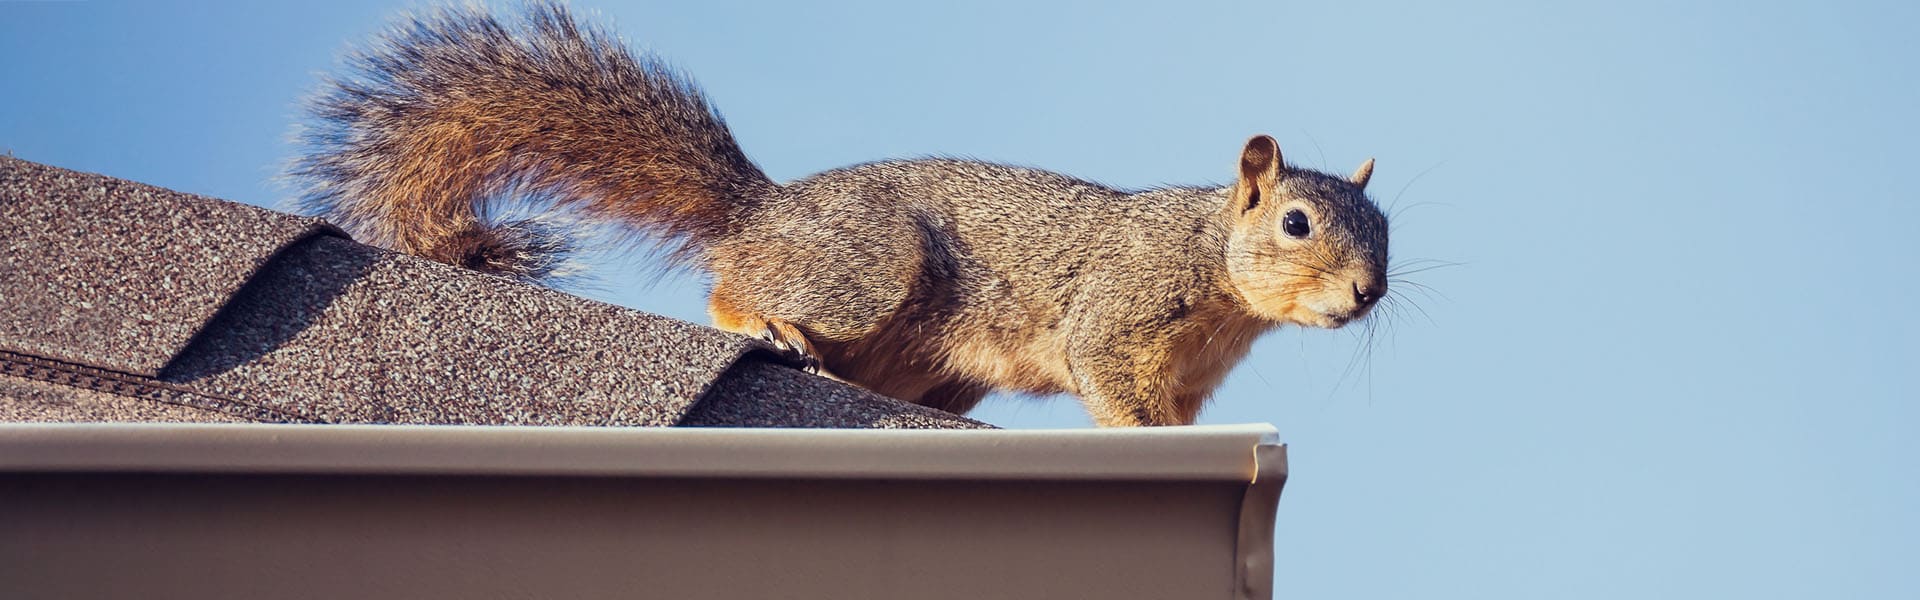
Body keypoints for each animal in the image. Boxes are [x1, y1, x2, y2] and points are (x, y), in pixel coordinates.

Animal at [288, 1, 1390, 427]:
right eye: (1296, 223)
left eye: (1387, 233)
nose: (1368, 293)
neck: (1217, 273)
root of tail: (767, 209)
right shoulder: (1118, 310)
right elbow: (1108, 379)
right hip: (866, 271)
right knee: (732, 288)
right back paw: (767, 322)